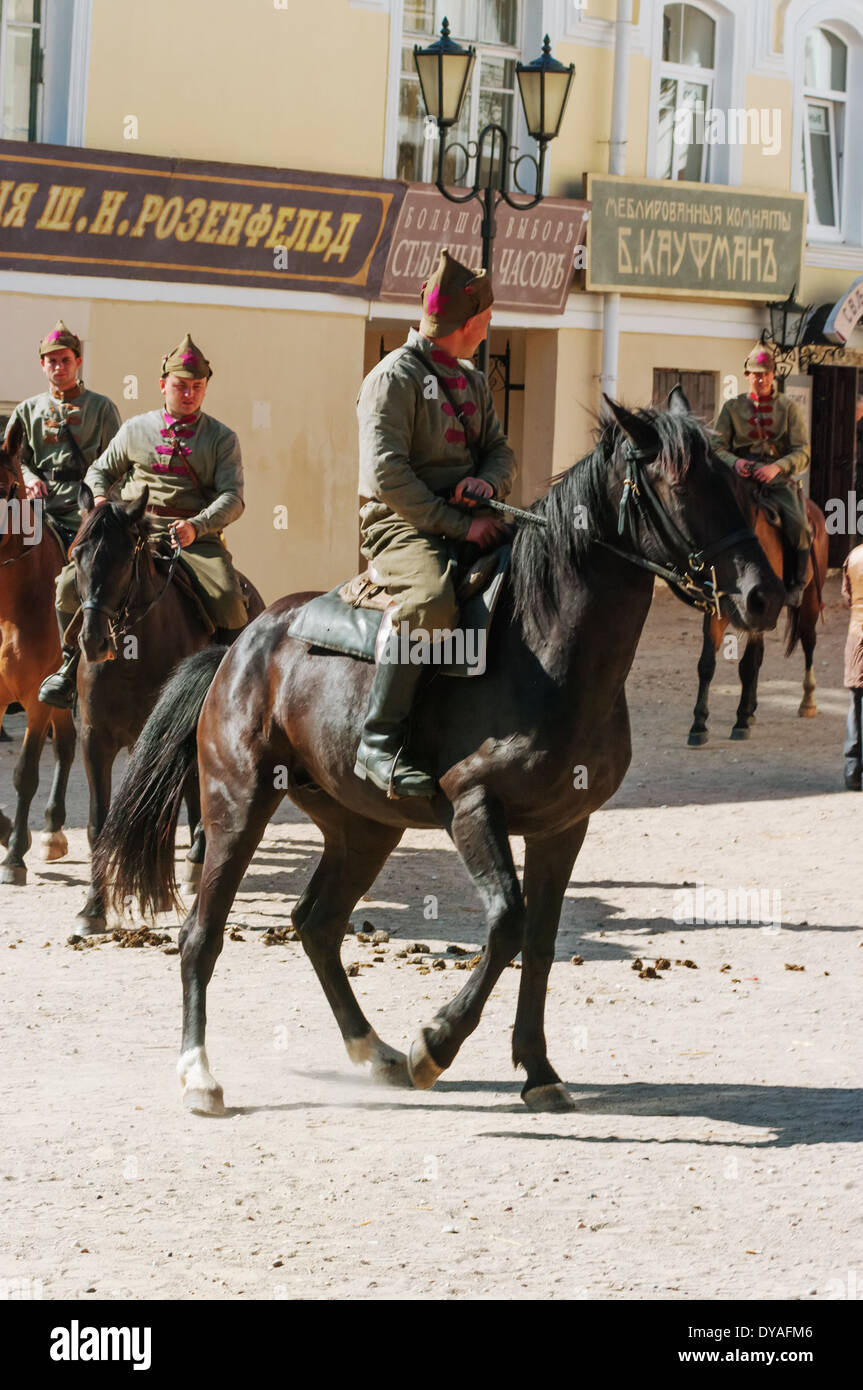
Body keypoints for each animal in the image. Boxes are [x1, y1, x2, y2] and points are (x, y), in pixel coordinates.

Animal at [69, 481, 265, 934]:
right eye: (77, 554)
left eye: (124, 558)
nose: (92, 641)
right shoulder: (93, 739)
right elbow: (97, 824)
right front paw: (92, 907)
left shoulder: (161, 737)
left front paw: (156, 891)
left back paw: (195, 858)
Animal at [92, 388, 785, 1116]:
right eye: (680, 485)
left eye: (736, 483)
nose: (763, 596)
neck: (546, 653)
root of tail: (243, 644)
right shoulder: (470, 806)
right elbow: (508, 923)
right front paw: (436, 1042)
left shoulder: (564, 826)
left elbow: (540, 939)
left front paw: (537, 1069)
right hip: (238, 804)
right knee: (202, 933)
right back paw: (200, 1073)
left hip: (364, 828)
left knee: (317, 924)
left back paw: (373, 1051)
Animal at [687, 485, 828, 746]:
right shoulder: (717, 611)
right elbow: (707, 664)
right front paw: (699, 724)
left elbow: (748, 665)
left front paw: (741, 721)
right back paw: (752, 710)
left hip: (811, 599)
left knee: (808, 641)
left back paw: (807, 702)